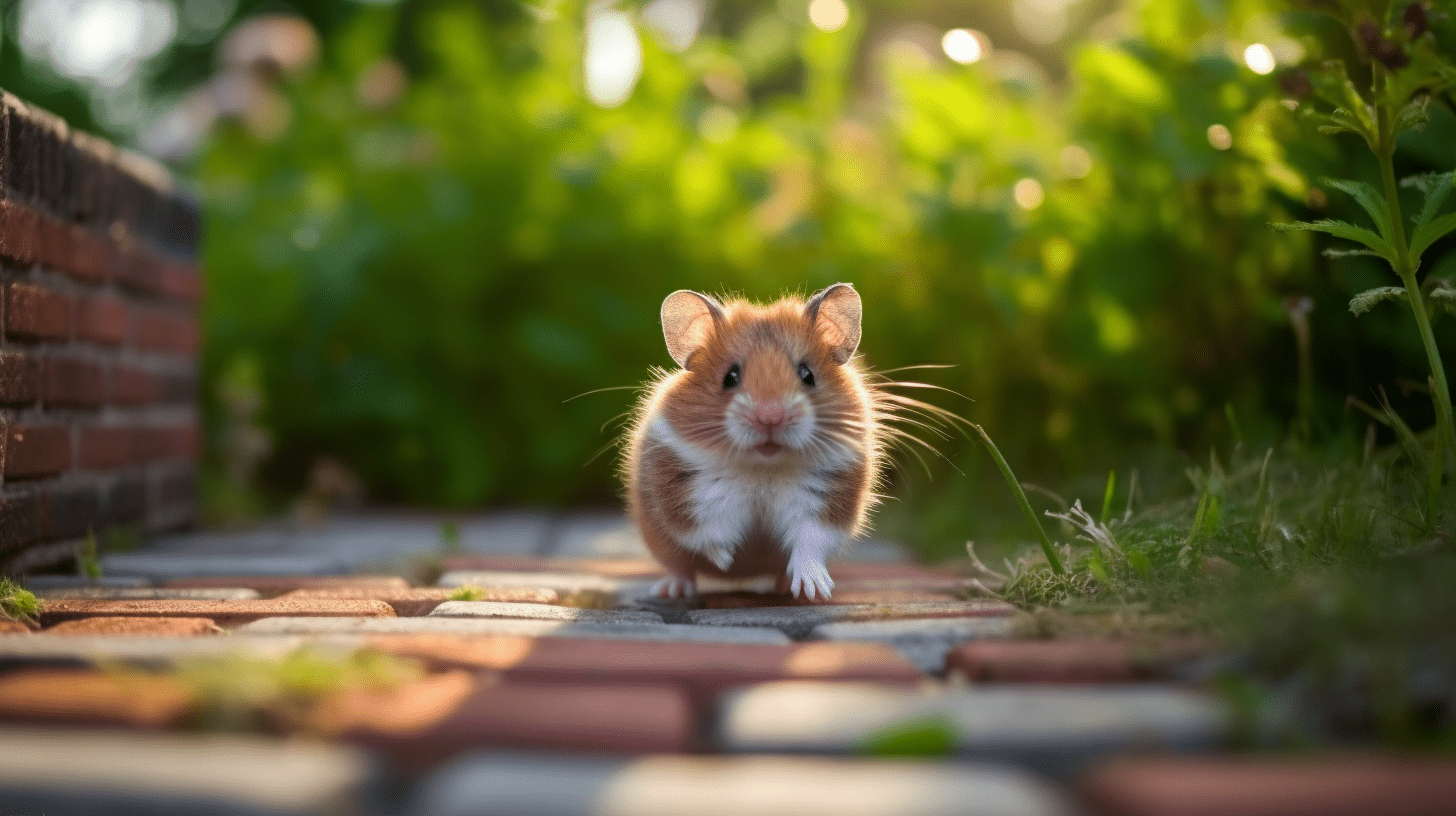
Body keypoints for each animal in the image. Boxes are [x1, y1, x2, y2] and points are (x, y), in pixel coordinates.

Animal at [623, 283, 885, 600]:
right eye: (729, 377)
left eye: (808, 375)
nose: (770, 417)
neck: (763, 468)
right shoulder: (686, 493)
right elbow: (709, 533)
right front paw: (729, 559)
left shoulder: (825, 499)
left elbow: (810, 541)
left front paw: (815, 590)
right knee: (679, 568)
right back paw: (670, 590)